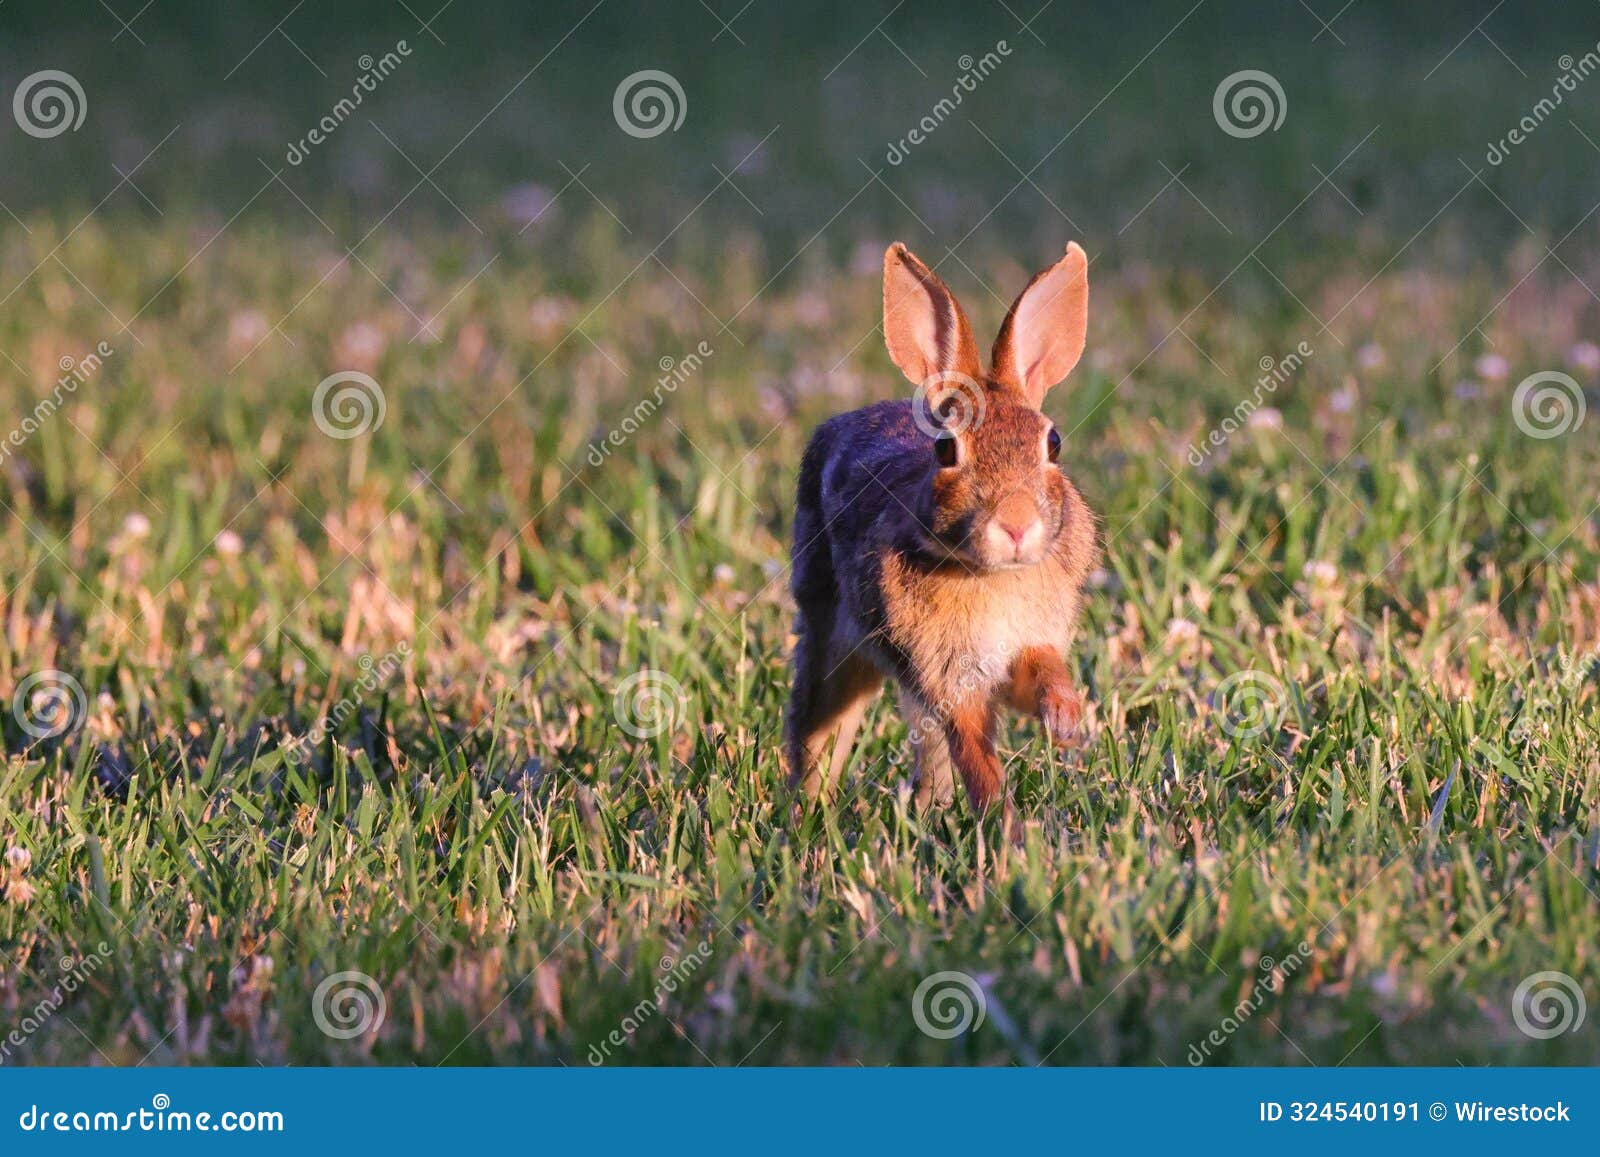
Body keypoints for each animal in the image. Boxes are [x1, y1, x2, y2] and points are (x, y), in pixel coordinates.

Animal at [785, 241, 1100, 816]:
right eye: (946, 449)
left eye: (1054, 443)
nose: (1016, 524)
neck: (990, 575)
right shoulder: (948, 675)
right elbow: (974, 750)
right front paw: (1004, 823)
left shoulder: (1028, 644)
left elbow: (1042, 674)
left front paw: (1065, 722)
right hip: (831, 639)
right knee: (816, 727)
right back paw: (807, 811)